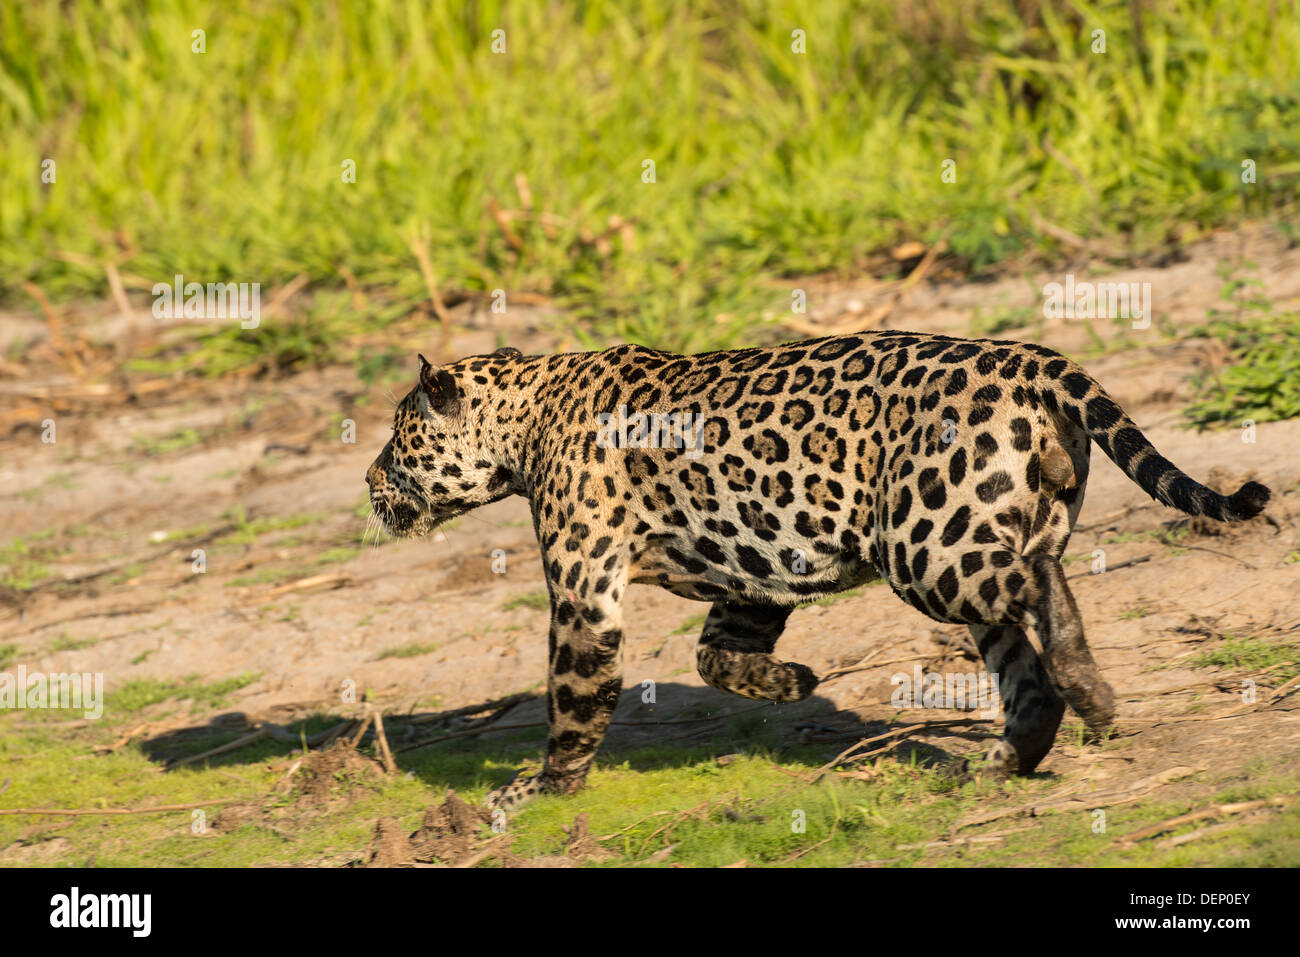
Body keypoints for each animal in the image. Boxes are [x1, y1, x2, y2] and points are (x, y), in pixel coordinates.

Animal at [364, 332, 1270, 811]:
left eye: (397, 436)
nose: (367, 479)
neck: (525, 421)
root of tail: (1033, 358)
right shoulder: (751, 574)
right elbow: (715, 655)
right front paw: (794, 681)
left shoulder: (586, 588)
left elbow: (575, 694)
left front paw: (540, 791)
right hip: (982, 536)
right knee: (1025, 653)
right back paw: (1003, 761)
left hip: (928, 547)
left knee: (1038, 592)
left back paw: (1091, 690)